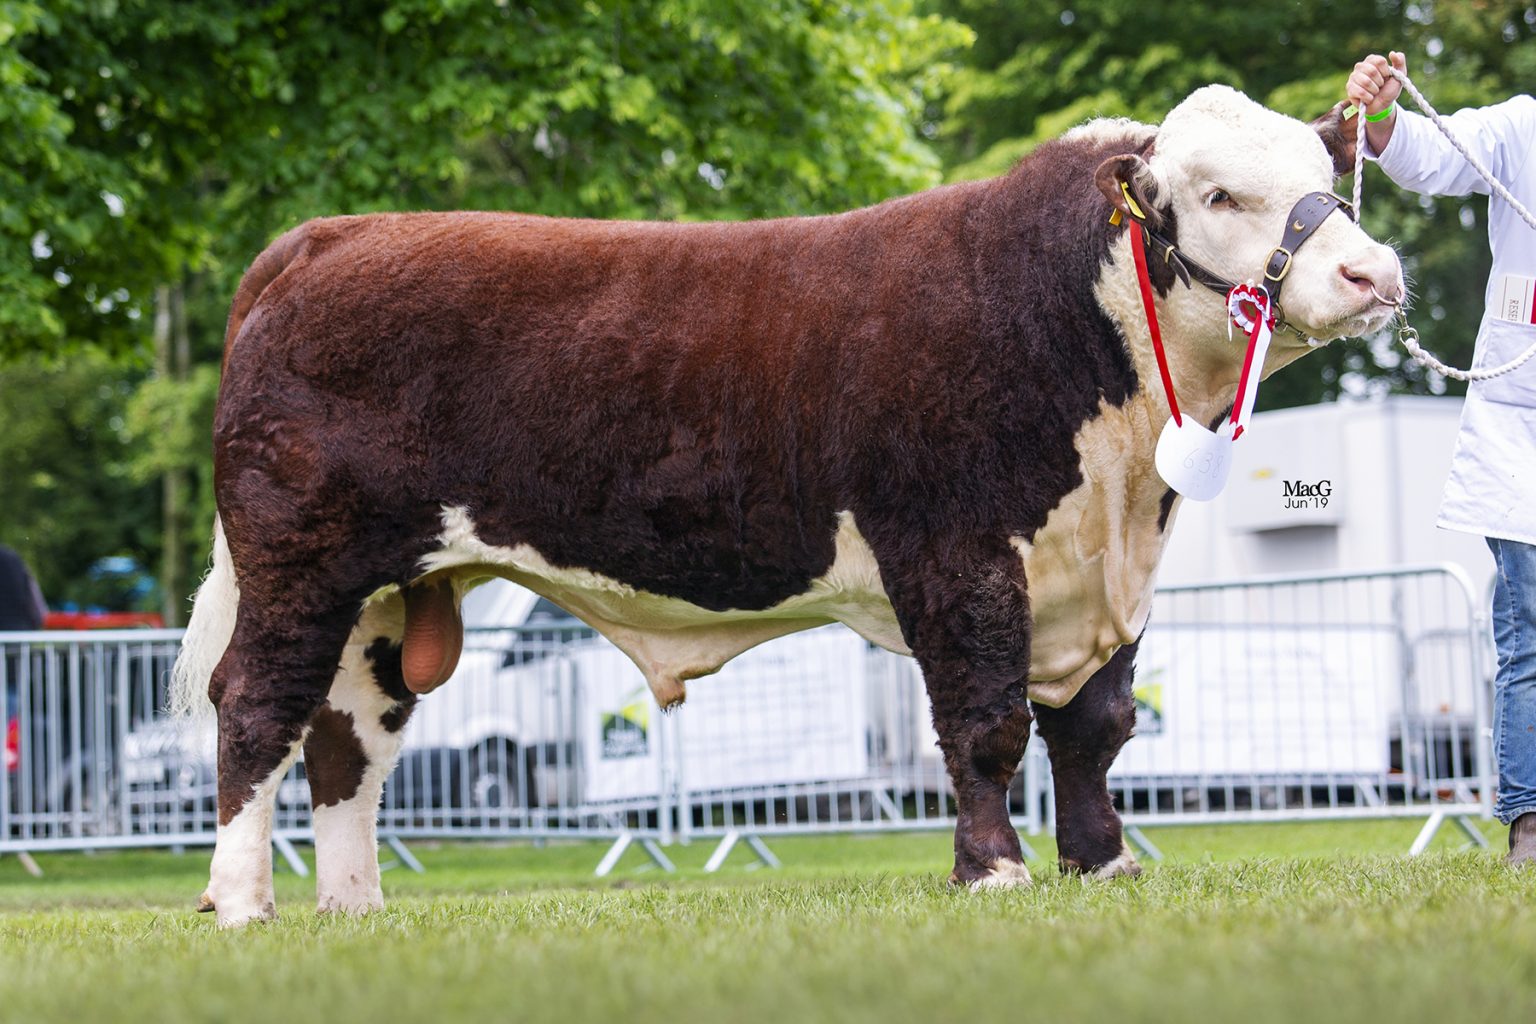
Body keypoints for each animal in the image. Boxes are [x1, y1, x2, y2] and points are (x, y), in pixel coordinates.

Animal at [171, 85, 1402, 927]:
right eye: (1218, 194)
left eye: (1328, 173)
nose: (1373, 273)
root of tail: (324, 238)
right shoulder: (954, 553)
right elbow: (988, 723)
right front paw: (992, 871)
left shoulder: (1111, 566)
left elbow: (1094, 727)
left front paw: (1103, 863)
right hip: (299, 564)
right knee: (257, 710)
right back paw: (243, 904)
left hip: (387, 590)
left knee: (348, 736)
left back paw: (353, 907)